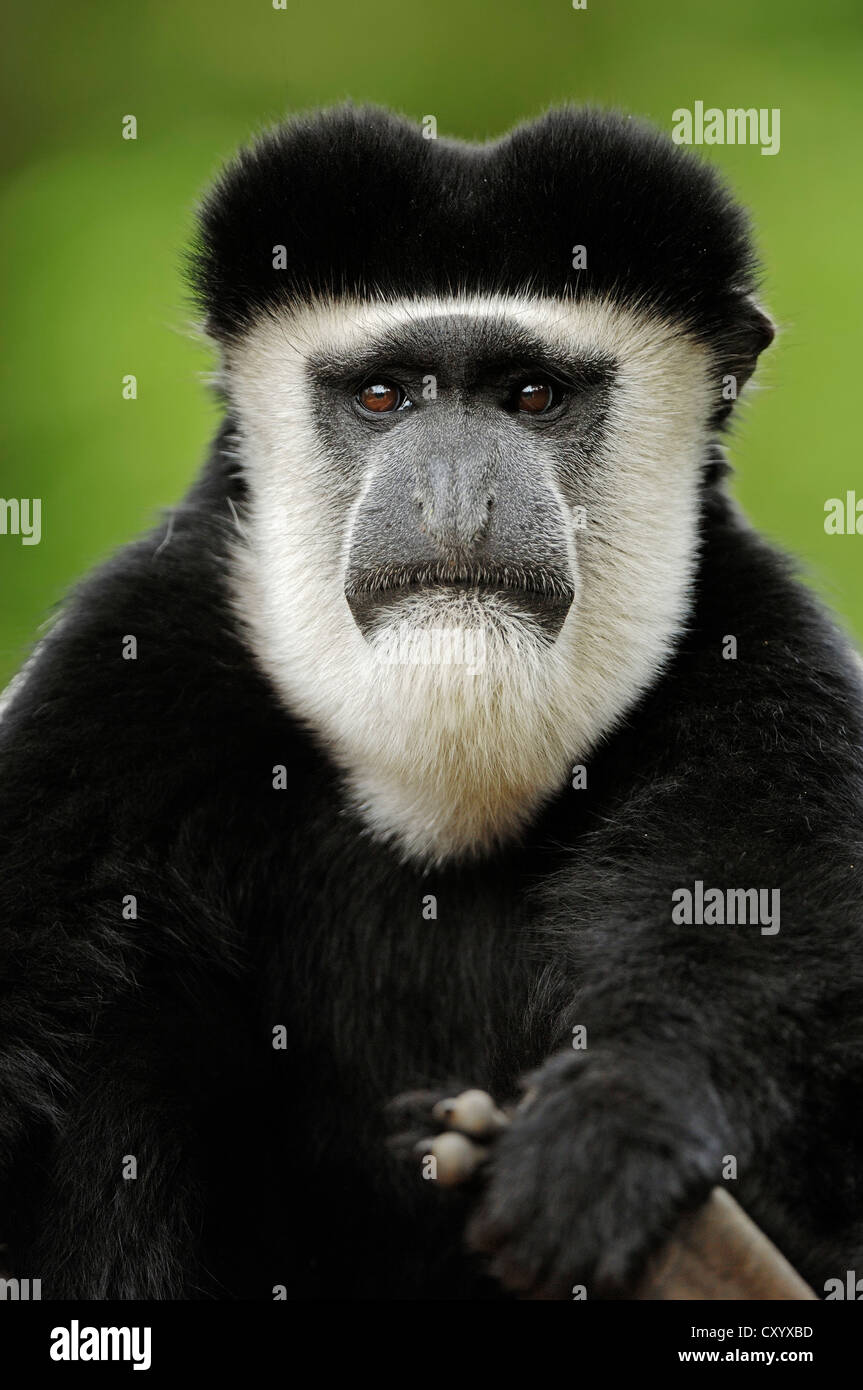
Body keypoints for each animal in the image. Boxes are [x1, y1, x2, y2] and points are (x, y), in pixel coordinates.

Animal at [0, 103, 862, 1300]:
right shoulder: (120, 679)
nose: (455, 493)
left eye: (531, 395)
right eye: (383, 395)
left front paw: (611, 1128)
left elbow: (755, 937)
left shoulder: (770, 684)